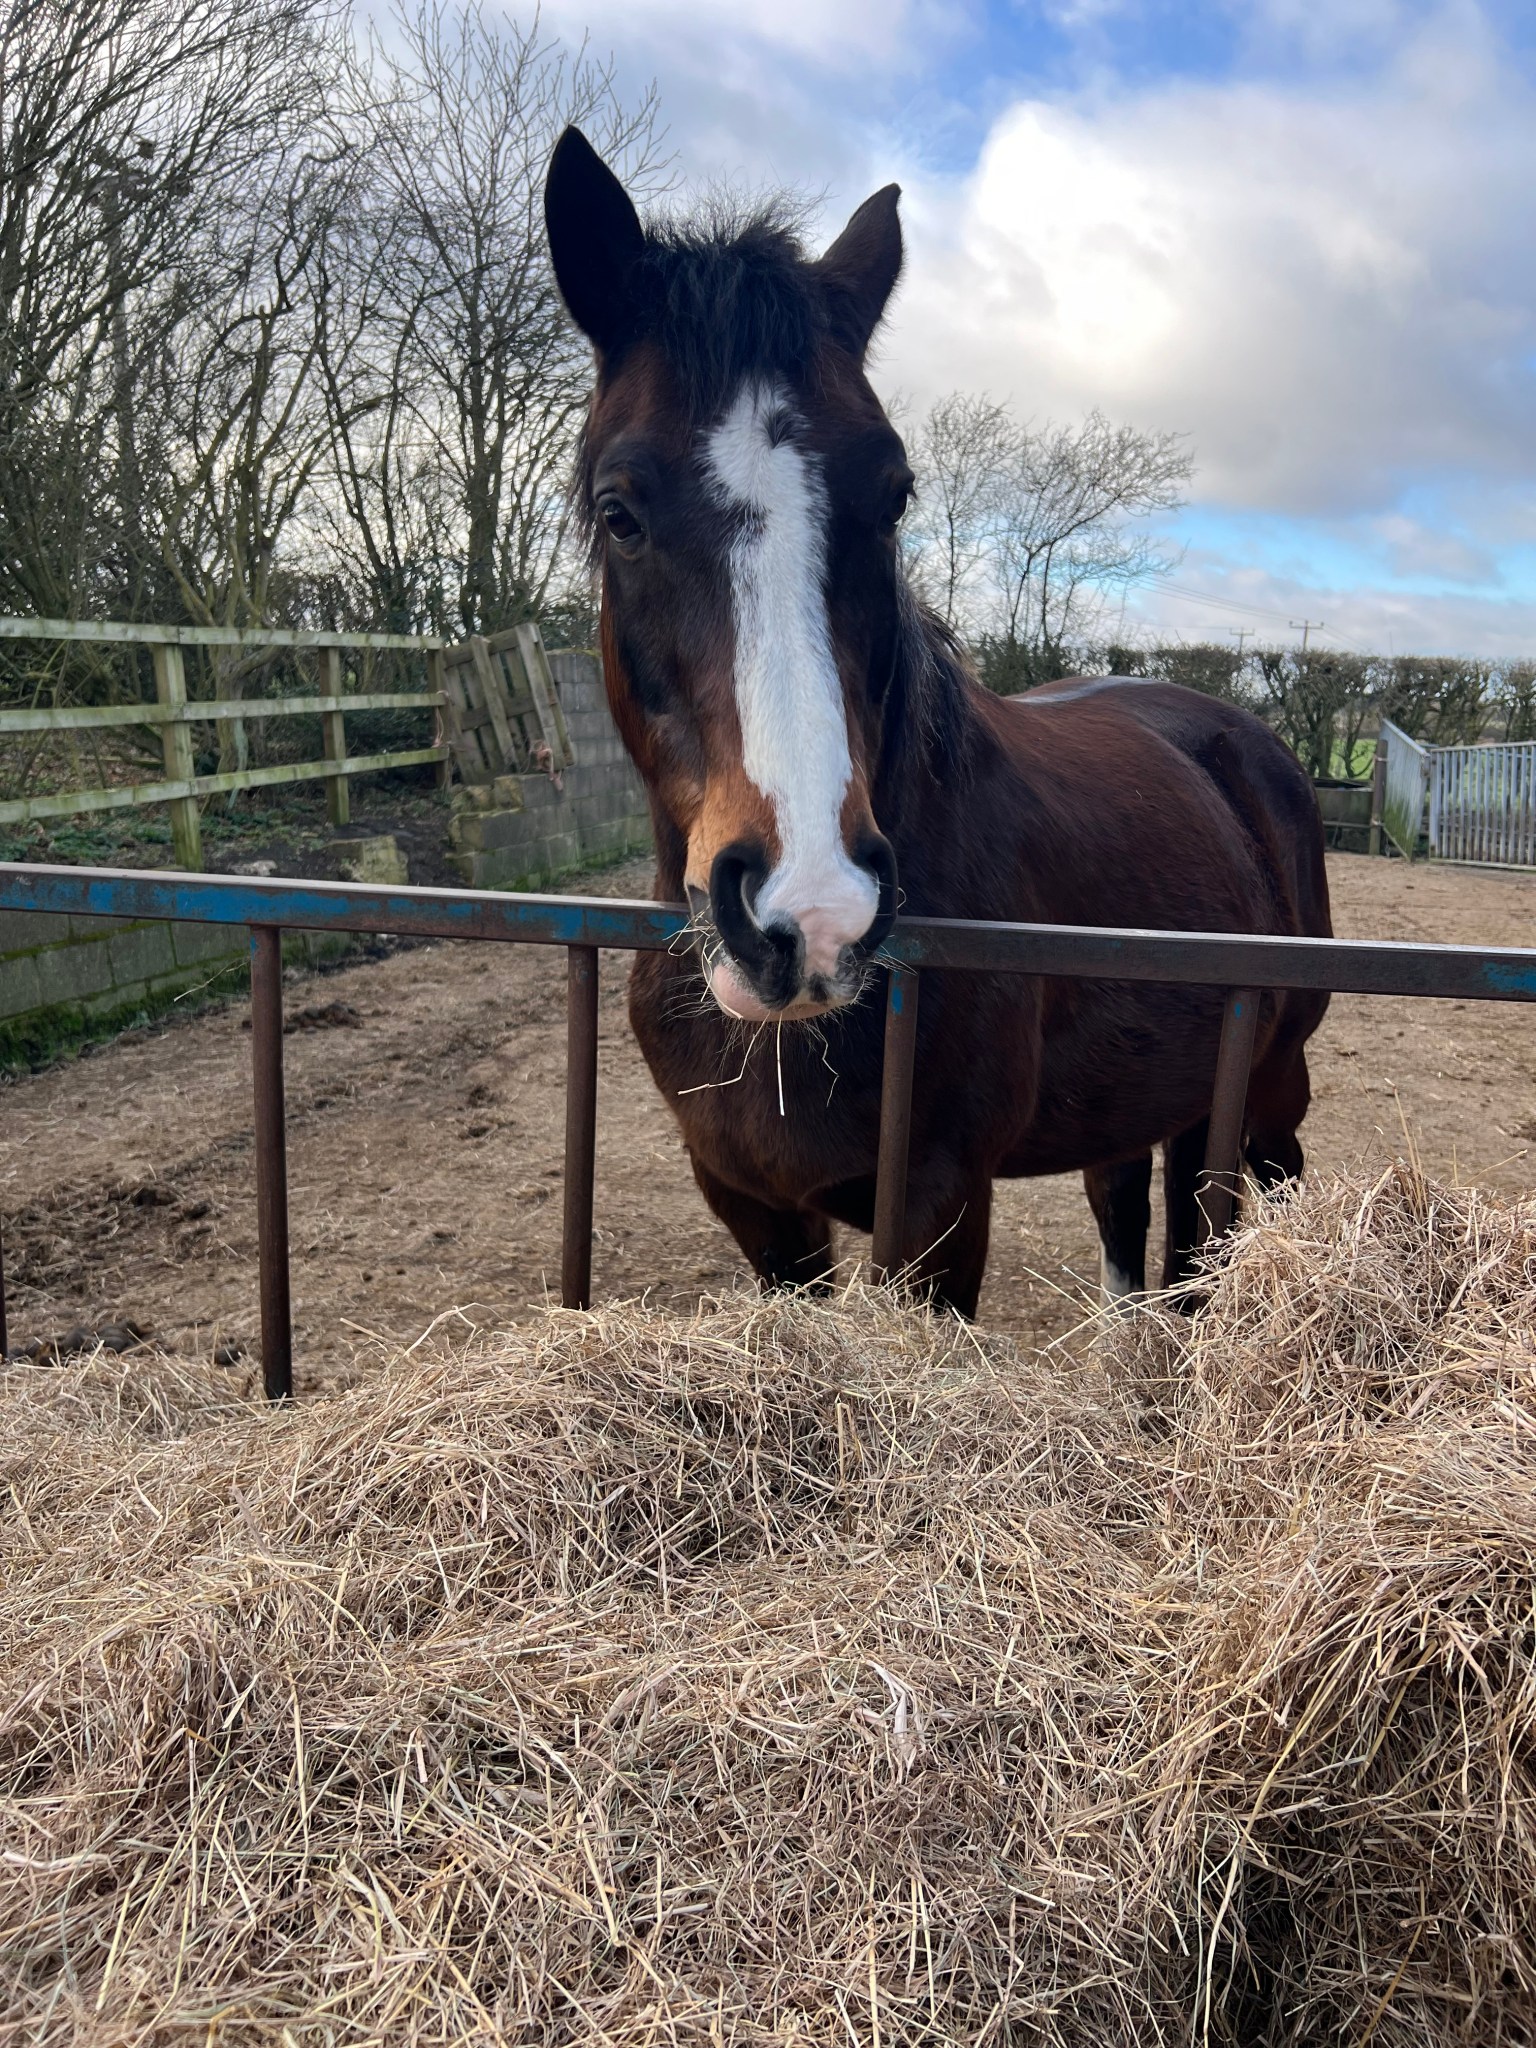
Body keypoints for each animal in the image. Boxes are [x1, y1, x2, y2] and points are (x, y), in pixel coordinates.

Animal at [543, 127, 1332, 1319]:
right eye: (619, 510)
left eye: (894, 496)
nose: (810, 913)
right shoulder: (756, 1209)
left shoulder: (937, 1210)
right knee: (1124, 1211)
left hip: (1259, 1091)